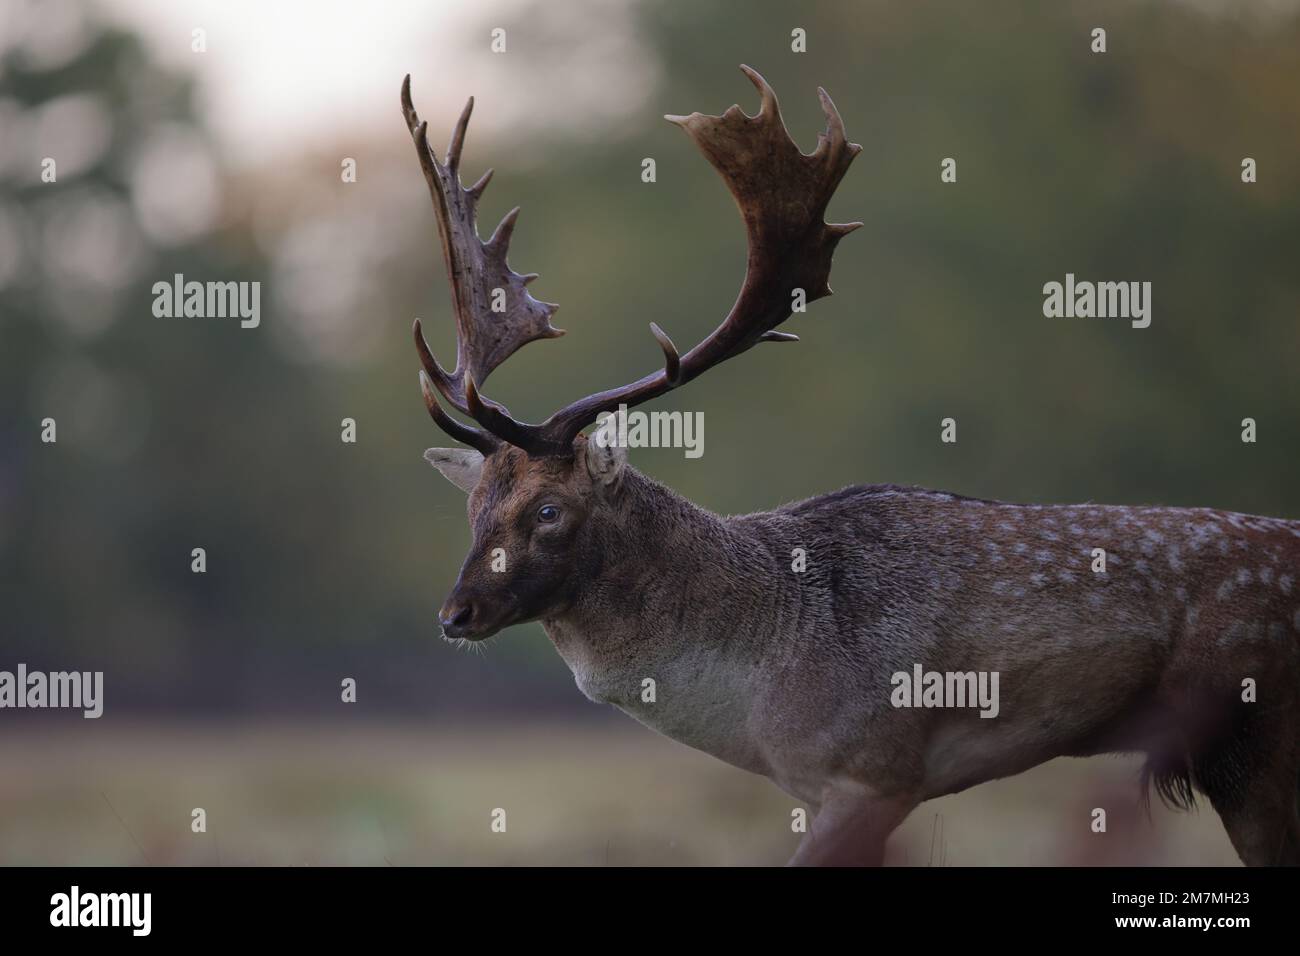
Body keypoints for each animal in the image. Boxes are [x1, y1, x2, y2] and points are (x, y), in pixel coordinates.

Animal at [400, 67, 1300, 866]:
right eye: (472, 508)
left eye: (549, 509)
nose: (453, 613)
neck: (761, 692)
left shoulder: (875, 772)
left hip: (1258, 738)